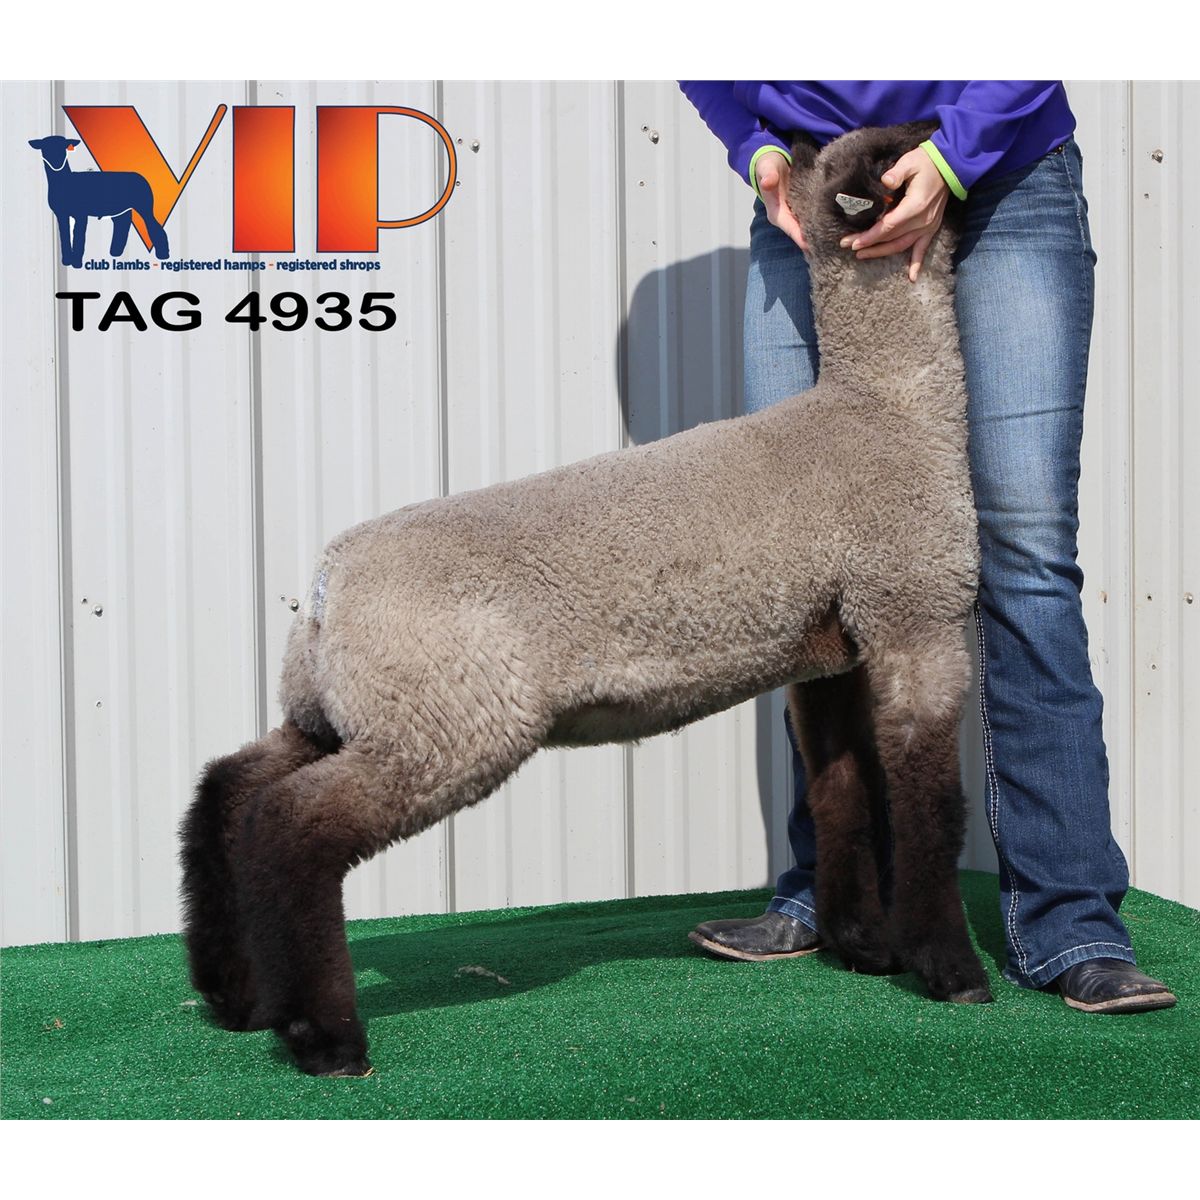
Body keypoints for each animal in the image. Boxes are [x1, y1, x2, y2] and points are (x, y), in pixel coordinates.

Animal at [29, 135, 169, 268]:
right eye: (45, 148)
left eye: (64, 147)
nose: (57, 163)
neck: (66, 181)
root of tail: (142, 178)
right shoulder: (60, 213)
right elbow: (64, 236)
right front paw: (66, 261)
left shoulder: (81, 213)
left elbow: (79, 236)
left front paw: (77, 263)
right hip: (122, 208)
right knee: (122, 224)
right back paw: (115, 252)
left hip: (144, 205)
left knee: (153, 226)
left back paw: (163, 254)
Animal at [181, 121, 992, 1078]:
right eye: (901, 142)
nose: (953, 145)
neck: (886, 407)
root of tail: (322, 585)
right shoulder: (915, 615)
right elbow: (927, 801)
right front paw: (949, 971)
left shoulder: (829, 651)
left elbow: (842, 791)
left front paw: (862, 946)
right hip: (449, 718)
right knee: (294, 824)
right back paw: (326, 1039)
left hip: (346, 708)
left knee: (232, 787)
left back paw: (235, 997)